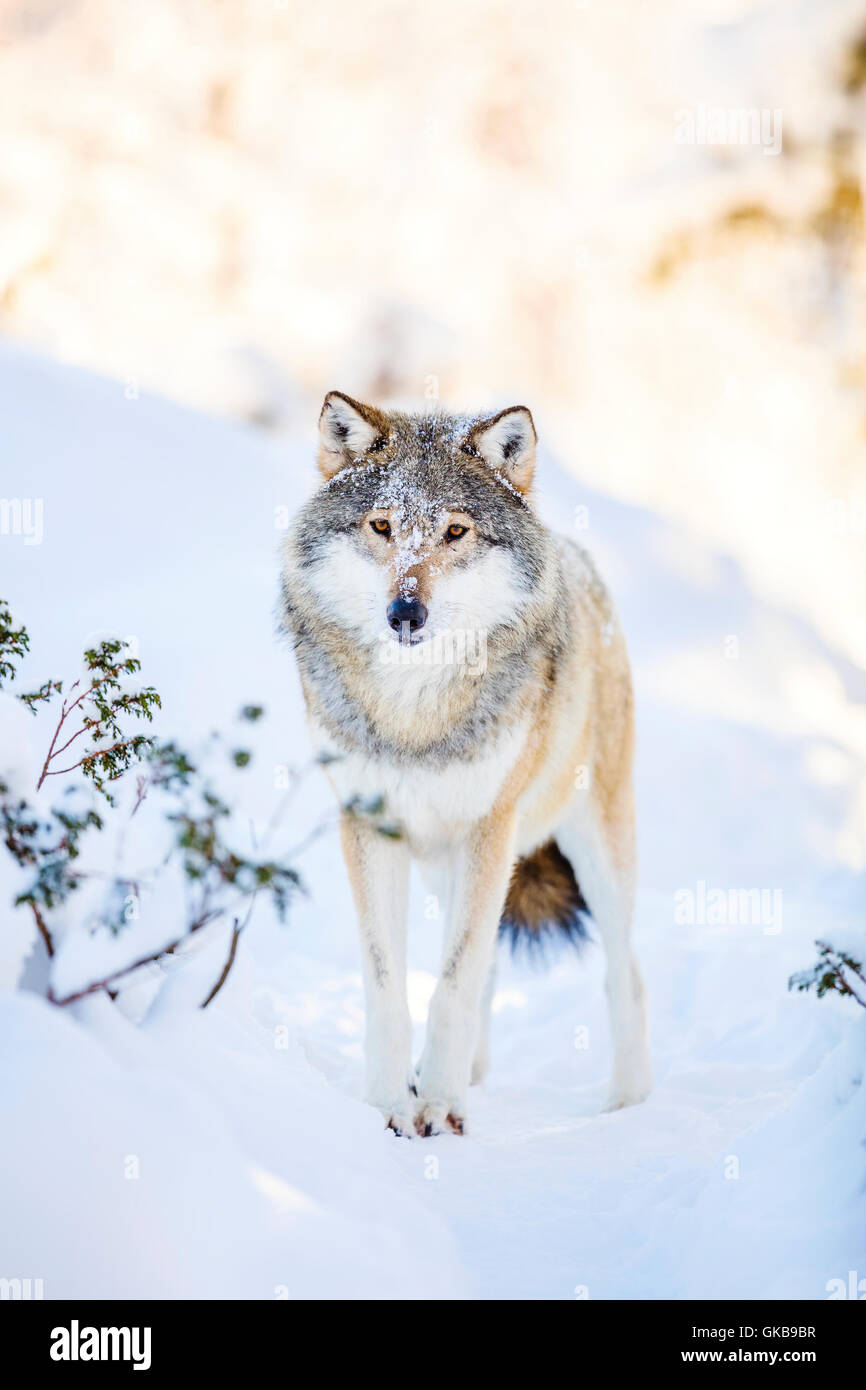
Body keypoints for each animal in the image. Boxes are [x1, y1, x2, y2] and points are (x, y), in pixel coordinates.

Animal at [280, 391, 651, 1136]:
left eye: (455, 532)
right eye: (382, 525)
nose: (406, 612)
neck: (414, 713)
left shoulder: (491, 825)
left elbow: (452, 984)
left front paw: (442, 1108)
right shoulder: (371, 829)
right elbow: (391, 987)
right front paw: (391, 1107)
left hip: (591, 846)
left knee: (623, 975)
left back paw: (628, 1108)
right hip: (444, 866)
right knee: (491, 969)